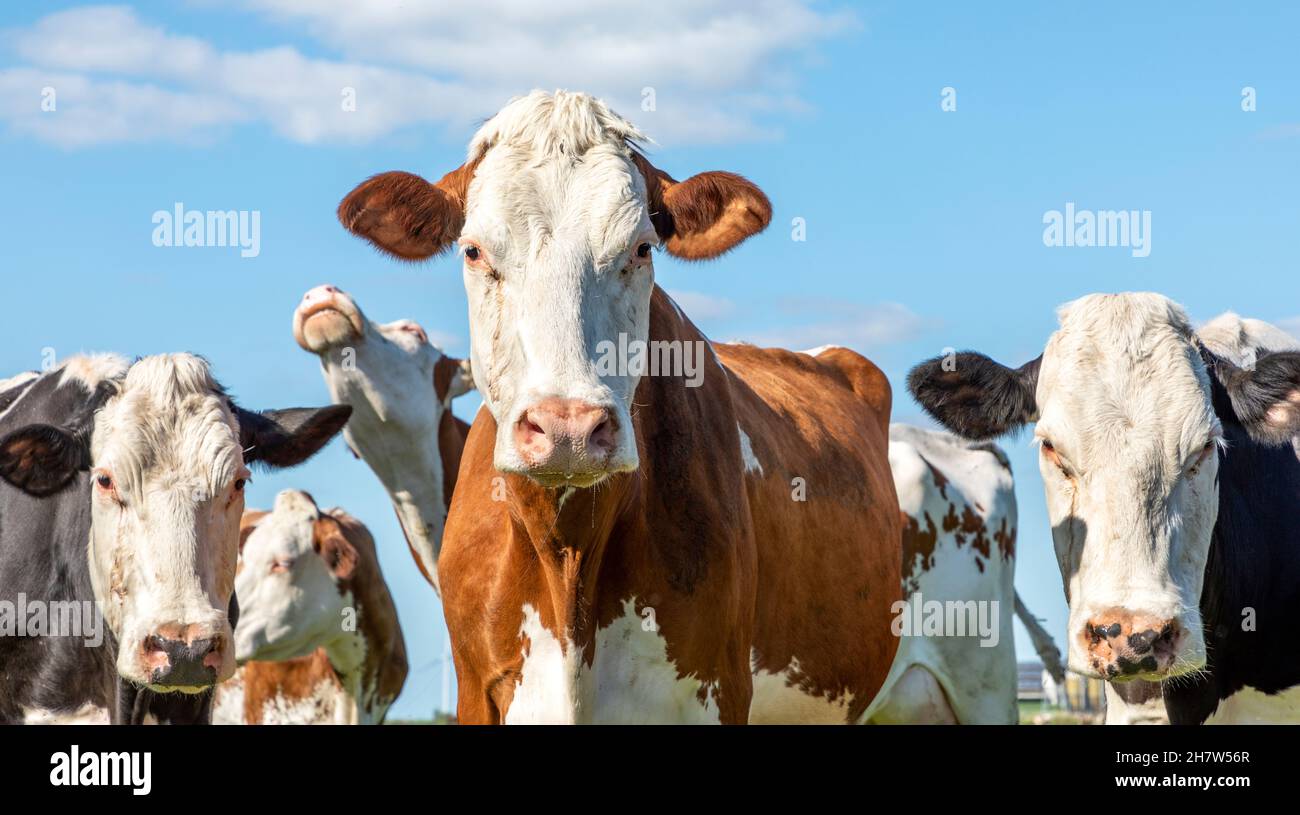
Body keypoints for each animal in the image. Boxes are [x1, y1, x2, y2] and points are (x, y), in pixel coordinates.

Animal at [337, 90, 903, 724]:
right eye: (474, 251)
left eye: (641, 248)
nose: (568, 429)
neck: (569, 562)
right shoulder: (477, 690)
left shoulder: (723, 686)